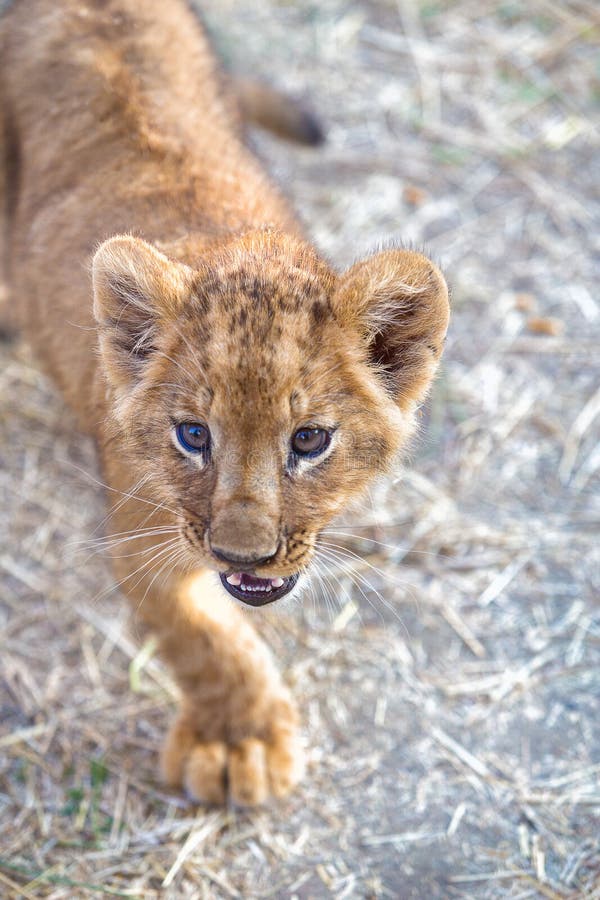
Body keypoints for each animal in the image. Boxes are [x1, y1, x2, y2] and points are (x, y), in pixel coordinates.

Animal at [0, 0, 449, 805]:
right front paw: (240, 741)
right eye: (192, 435)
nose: (244, 555)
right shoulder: (143, 527)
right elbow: (201, 636)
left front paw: (240, 740)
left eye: (308, 440)